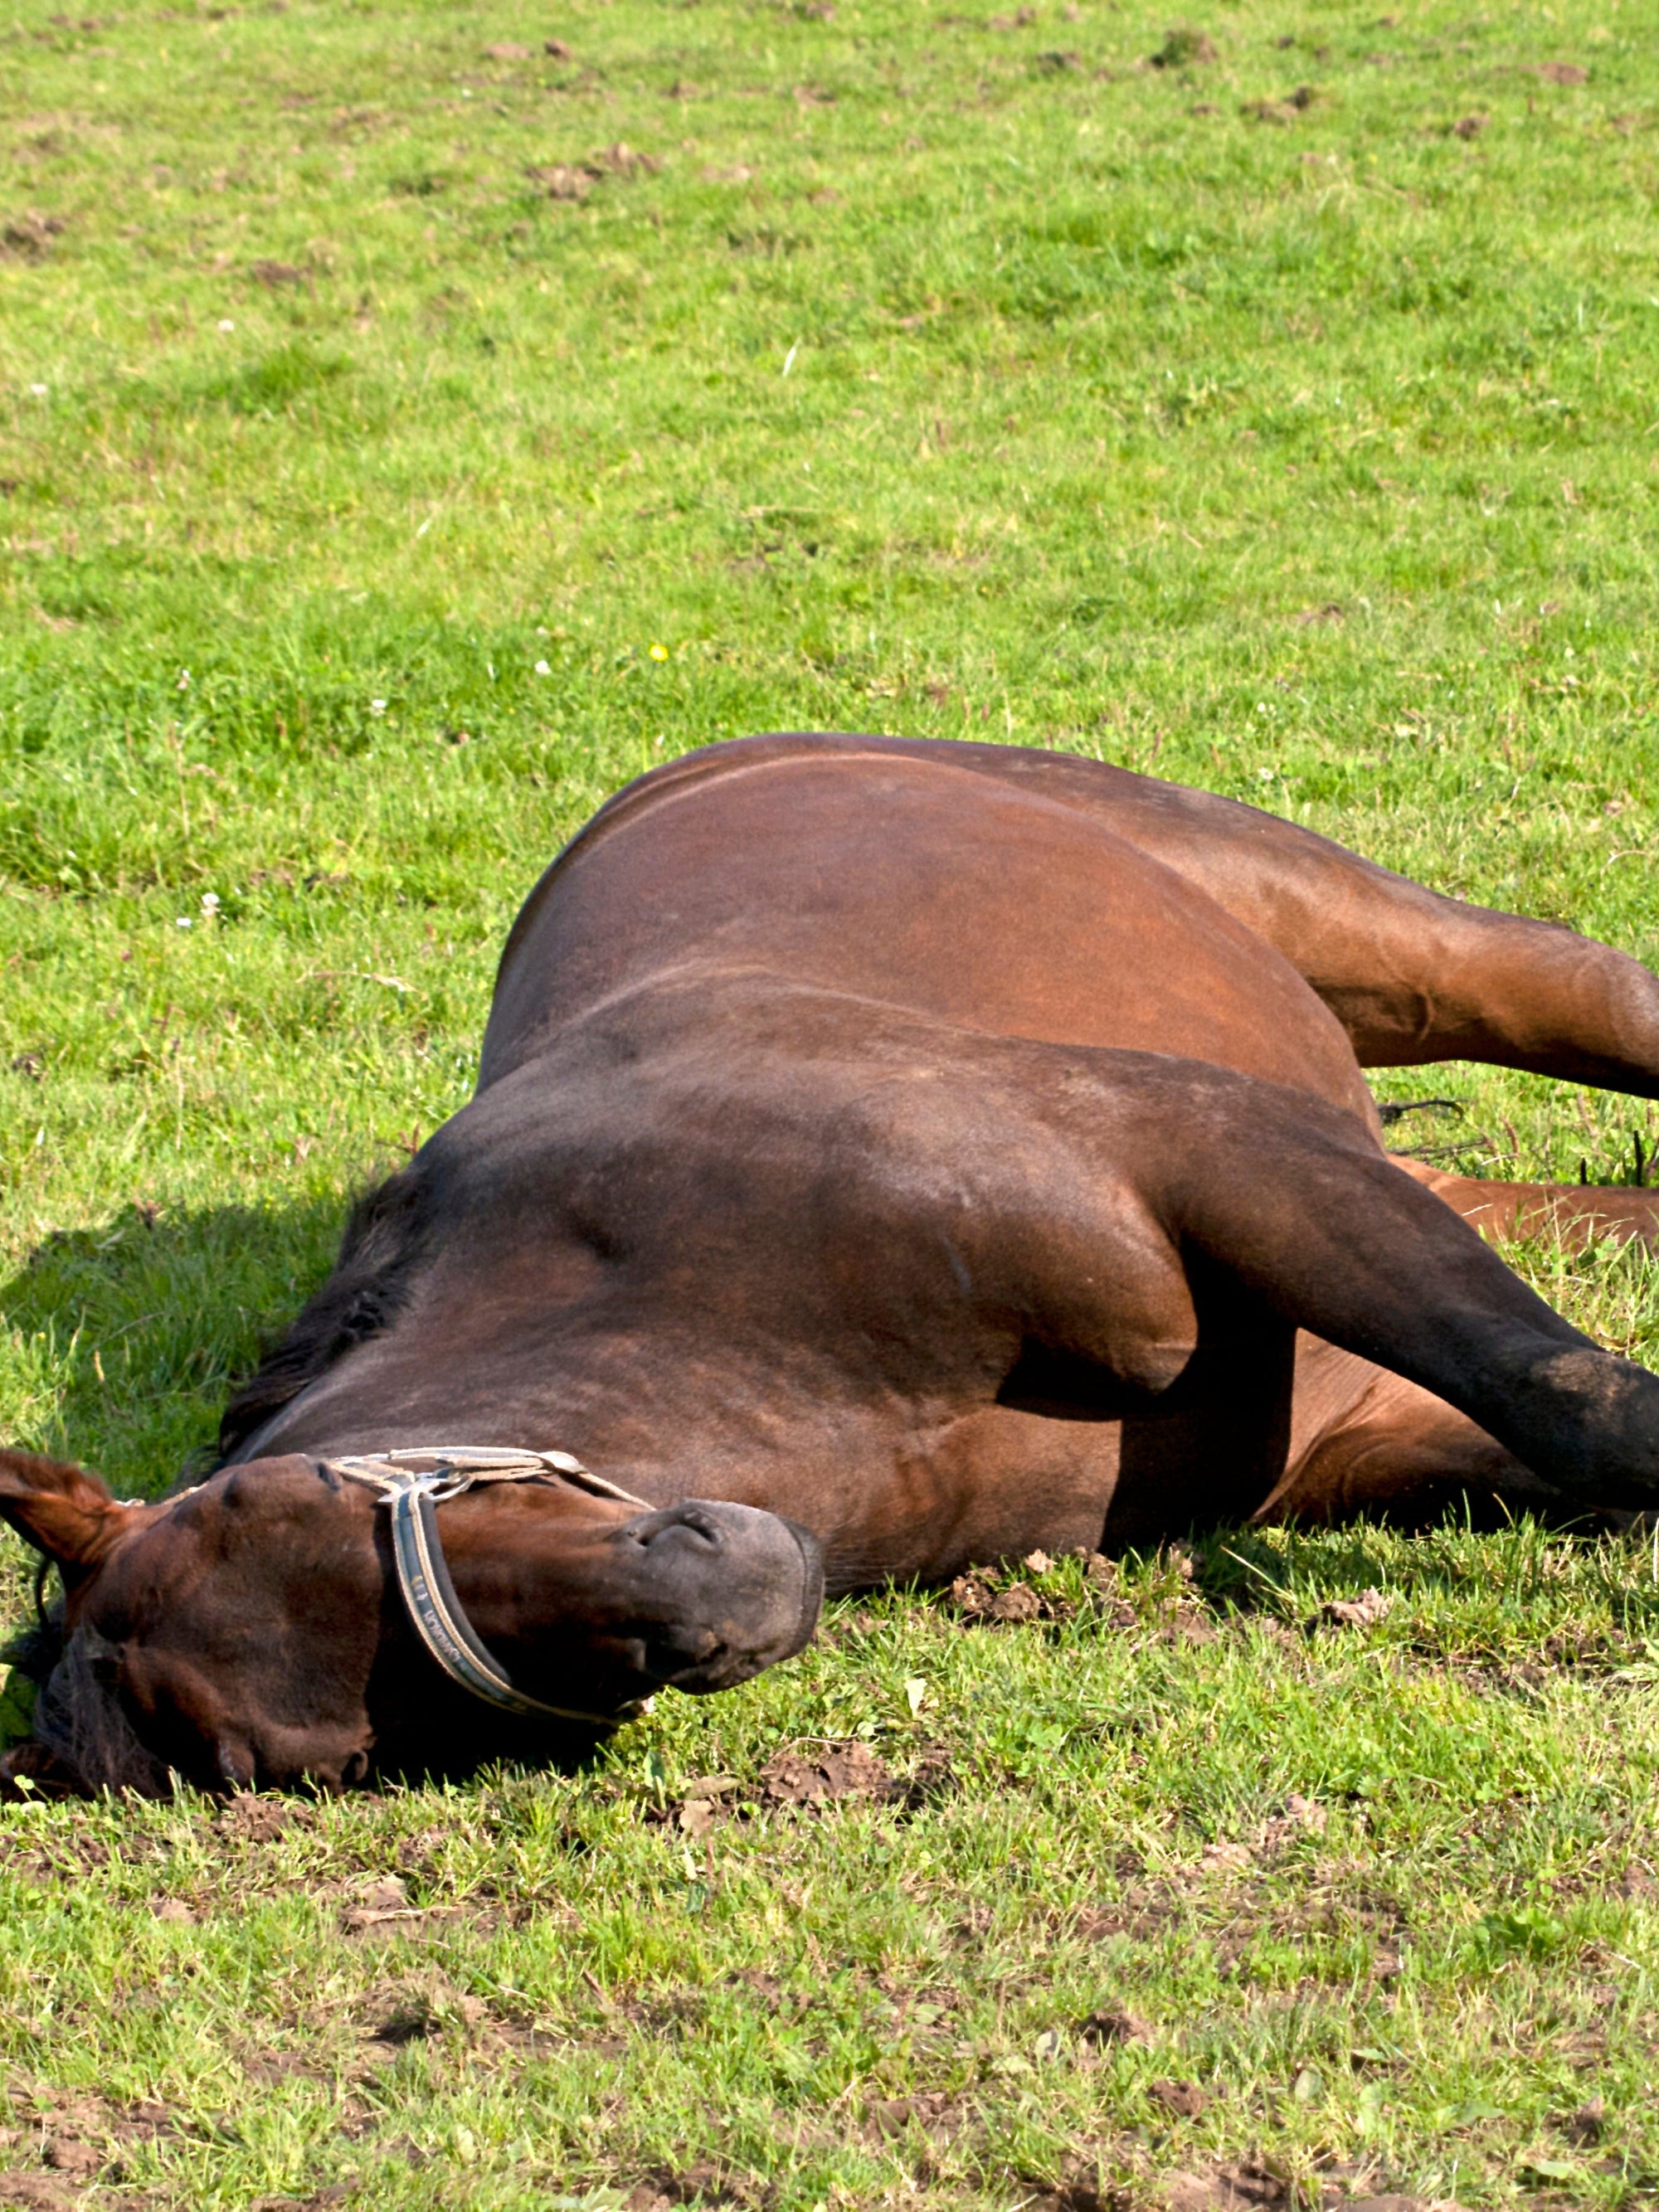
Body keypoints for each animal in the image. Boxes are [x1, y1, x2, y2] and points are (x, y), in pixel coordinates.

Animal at [7, 731, 1659, 1796]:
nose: (721, 1594)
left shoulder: (1216, 1150)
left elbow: (1583, 1403)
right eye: (340, 1751)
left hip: (1387, 949)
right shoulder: (1351, 1426)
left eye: (282, 1506)